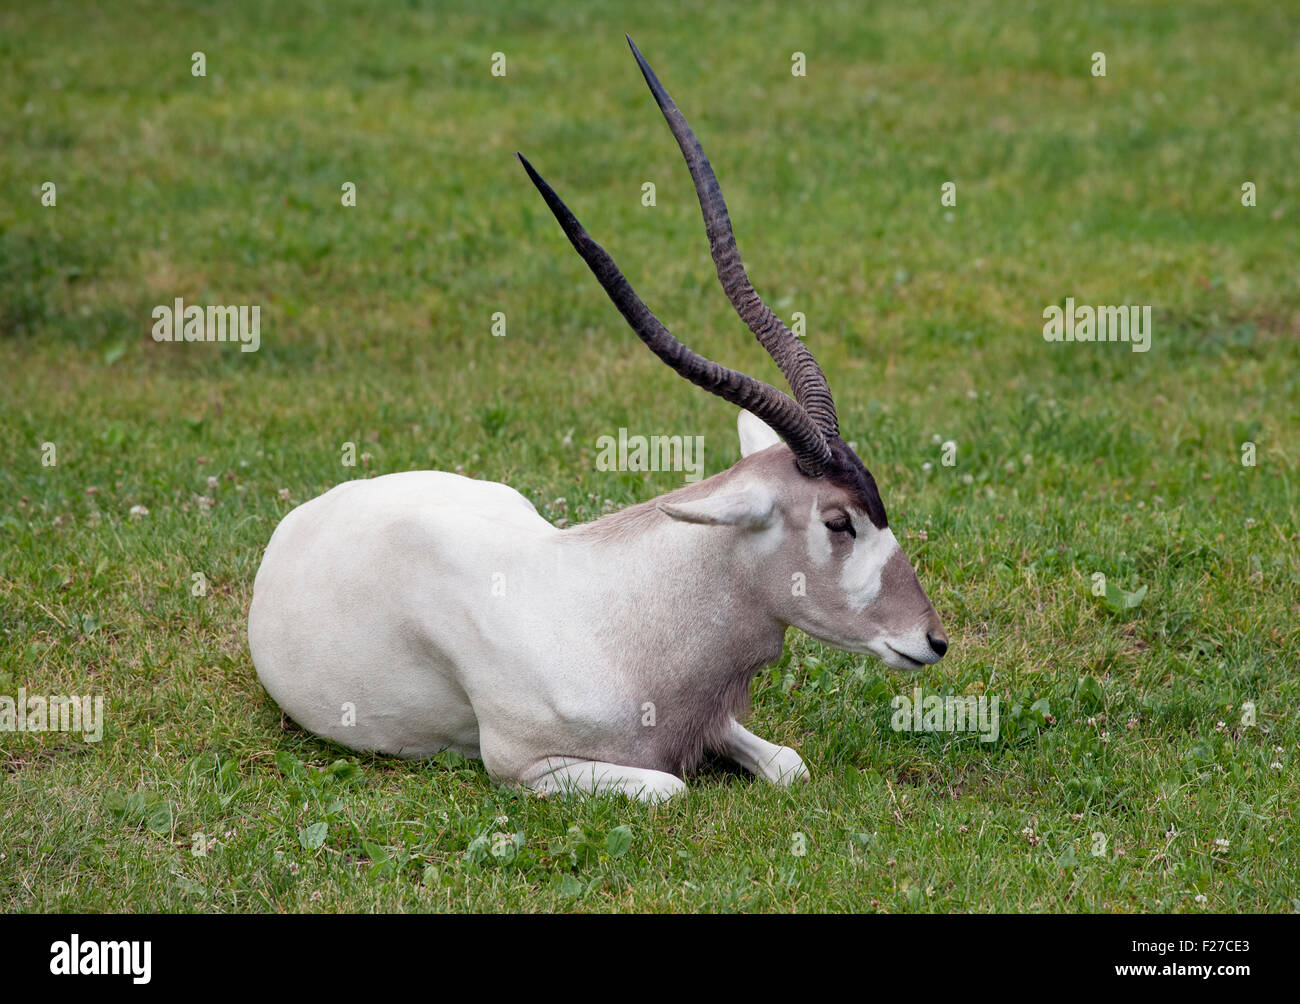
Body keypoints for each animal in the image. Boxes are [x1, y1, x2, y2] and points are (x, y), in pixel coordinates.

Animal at [248, 38, 948, 803]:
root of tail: (310, 511)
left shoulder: (709, 722)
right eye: (837, 521)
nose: (933, 639)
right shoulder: (527, 768)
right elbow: (672, 788)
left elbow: (791, 765)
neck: (616, 617)